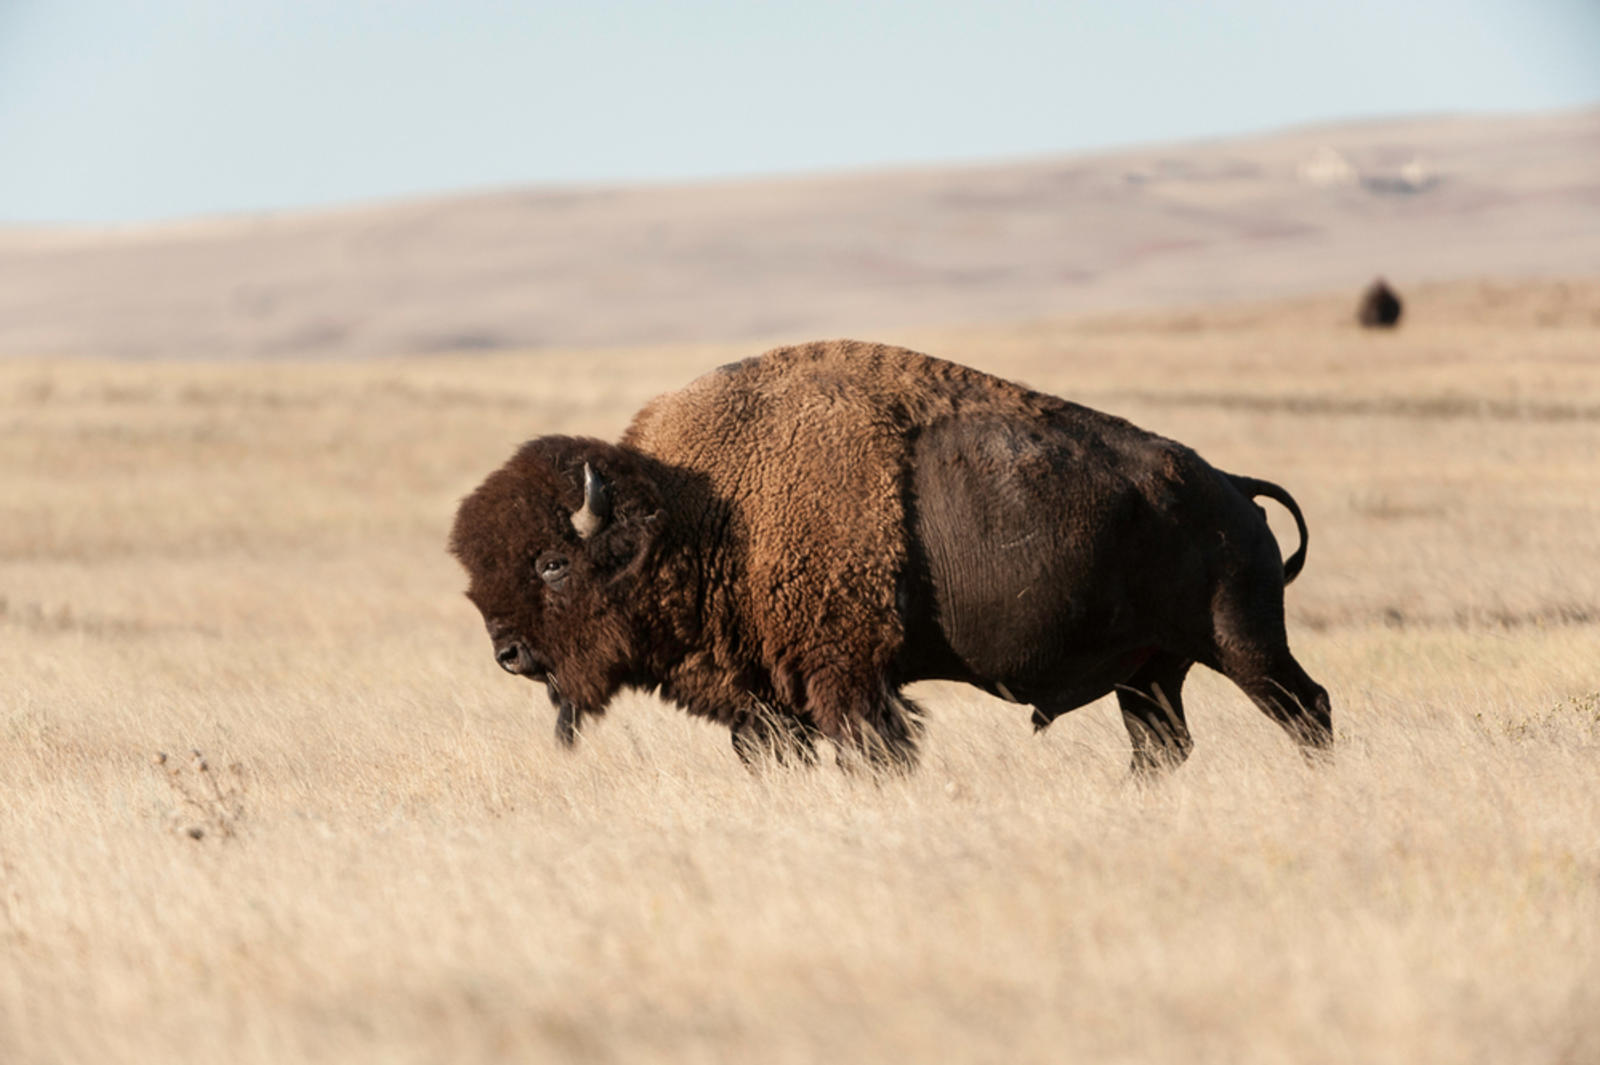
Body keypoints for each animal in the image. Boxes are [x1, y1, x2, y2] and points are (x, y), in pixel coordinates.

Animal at [450, 340, 1332, 773]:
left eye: (553, 563)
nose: (509, 653)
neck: (702, 510)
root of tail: (1234, 491)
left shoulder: (849, 677)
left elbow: (878, 749)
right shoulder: (767, 699)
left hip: (1241, 644)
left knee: (1308, 708)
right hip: (1147, 674)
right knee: (1163, 746)